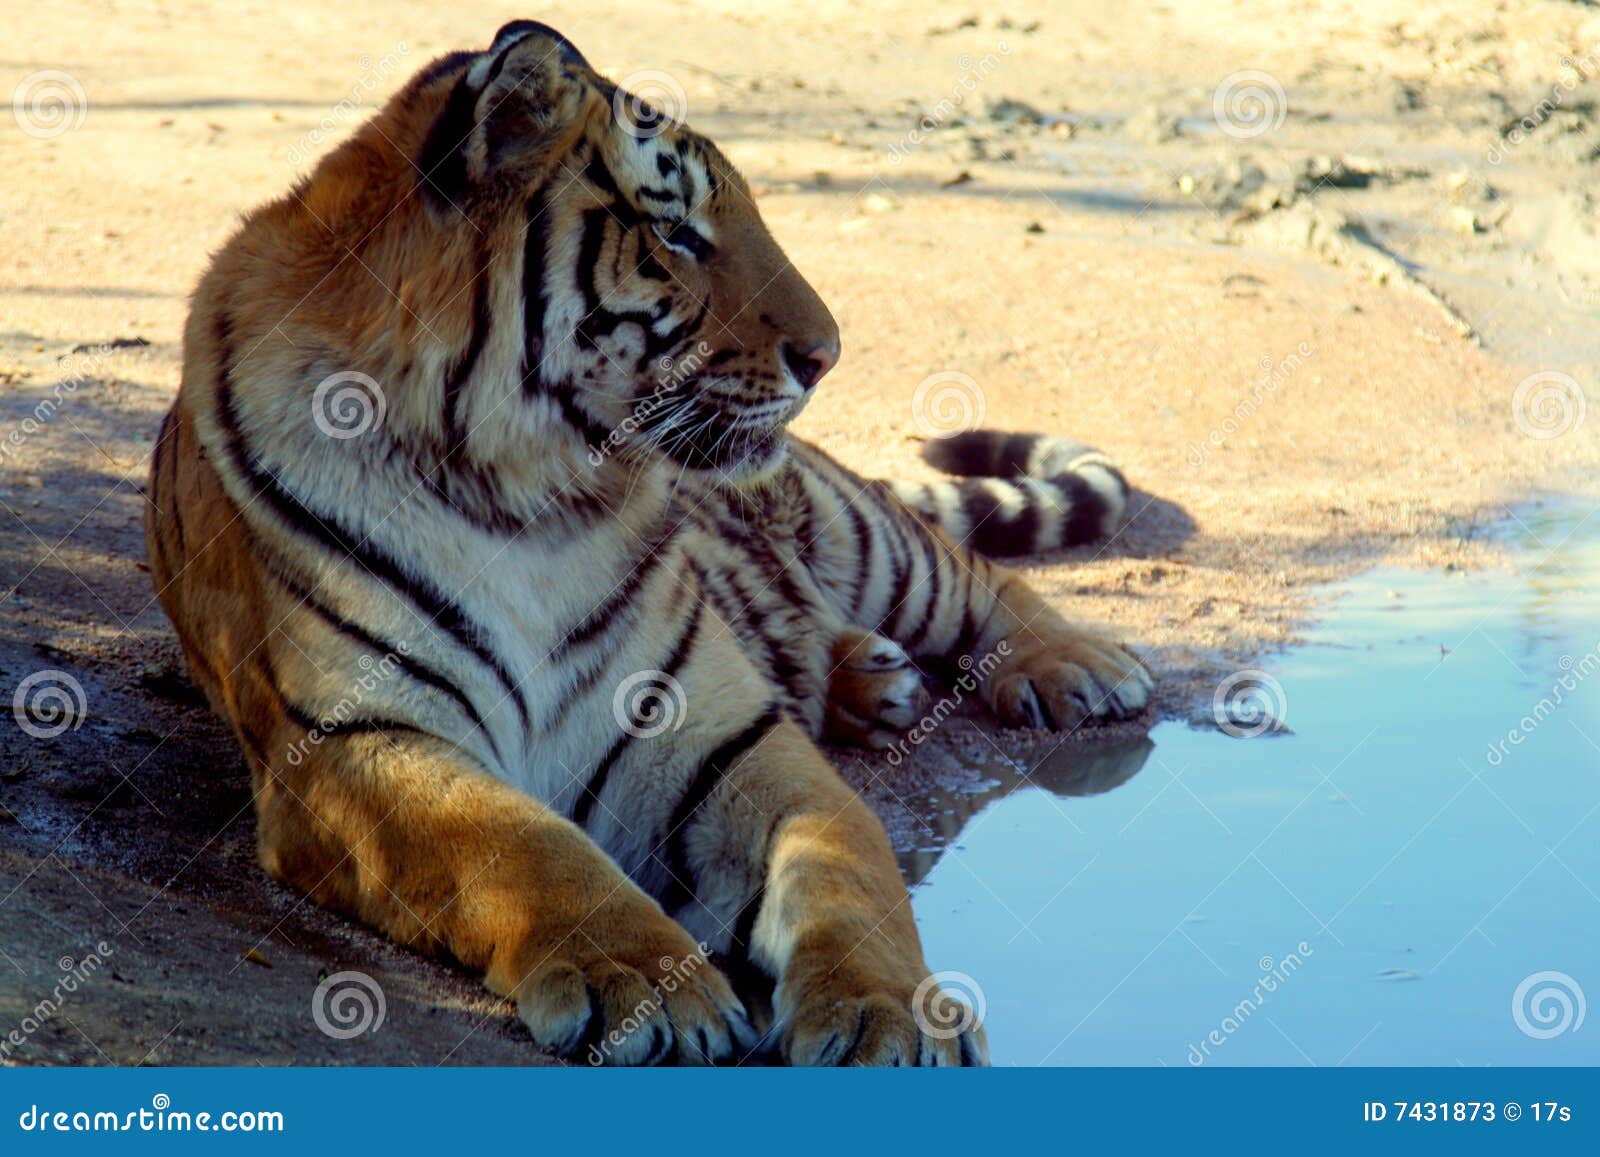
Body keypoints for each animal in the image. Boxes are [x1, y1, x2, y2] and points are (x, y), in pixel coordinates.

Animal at [145, 20, 1152, 1067]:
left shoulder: (730, 736)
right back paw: (869, 680)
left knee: (979, 575)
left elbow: (851, 868)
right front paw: (645, 987)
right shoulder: (350, 738)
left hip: (854, 530)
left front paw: (891, 1012)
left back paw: (1075, 665)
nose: (829, 355)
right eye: (676, 234)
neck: (524, 496)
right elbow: (523, 844)